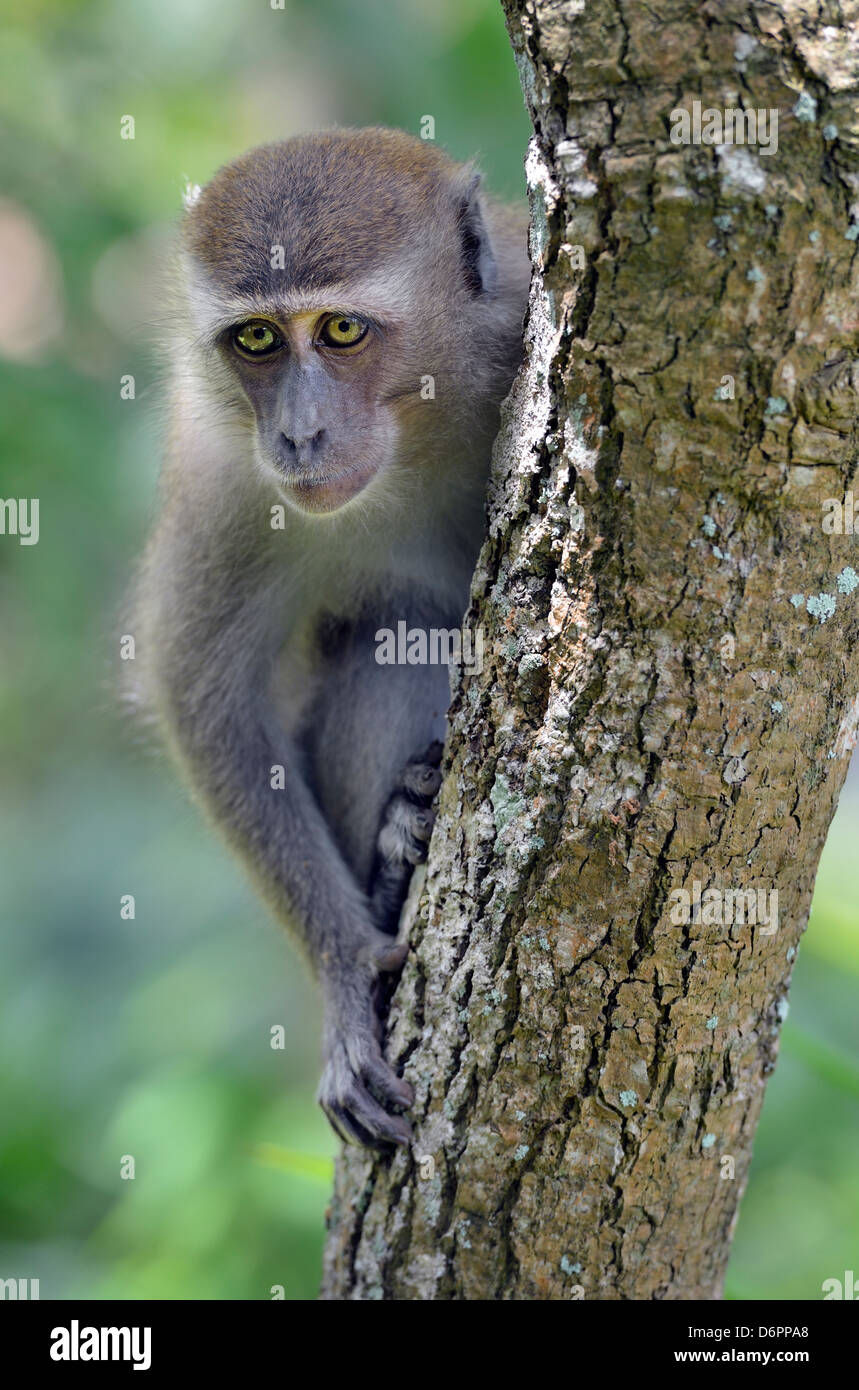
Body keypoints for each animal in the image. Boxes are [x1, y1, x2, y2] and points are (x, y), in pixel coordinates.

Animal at [132, 127, 529, 1149]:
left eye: (342, 331)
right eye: (258, 339)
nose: (299, 435)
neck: (418, 429)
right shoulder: (223, 471)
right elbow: (206, 701)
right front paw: (345, 972)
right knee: (397, 633)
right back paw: (393, 857)